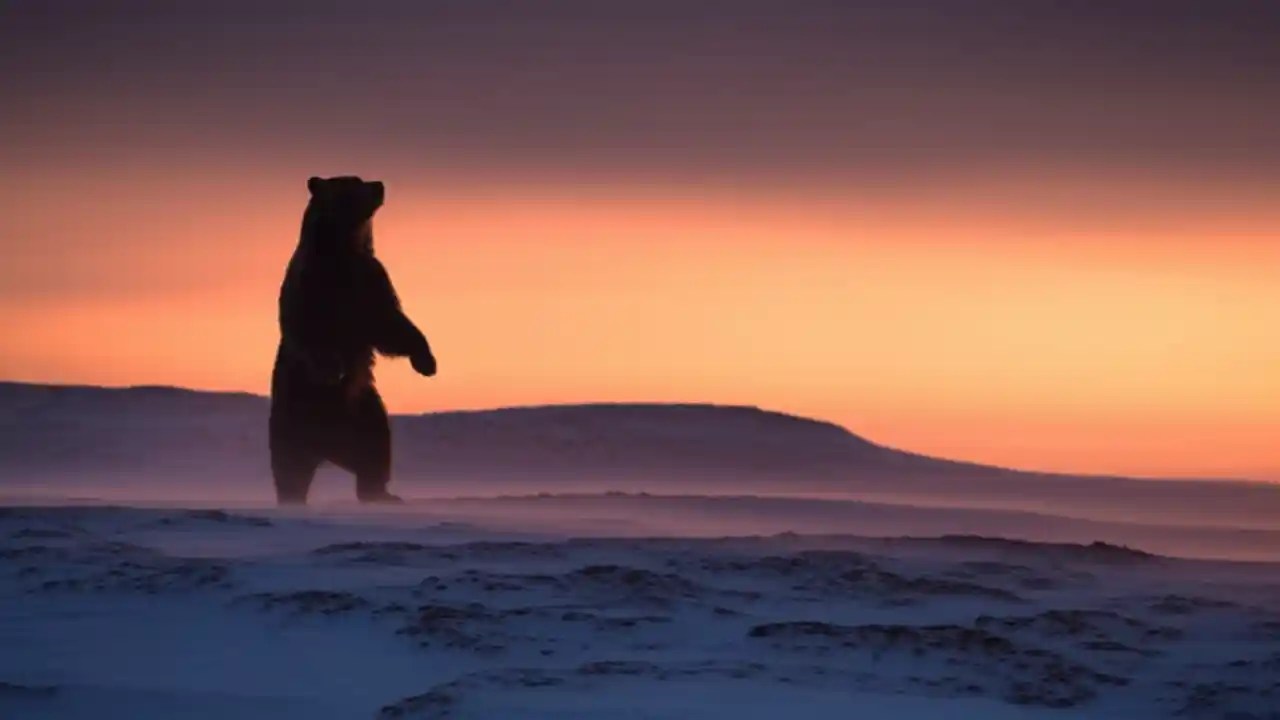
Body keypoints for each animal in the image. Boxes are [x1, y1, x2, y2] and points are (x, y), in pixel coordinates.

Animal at [269, 175, 436, 505]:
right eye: (352, 182)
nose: (379, 184)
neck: (340, 250)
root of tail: (325, 450)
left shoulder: (370, 278)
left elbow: (389, 323)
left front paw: (426, 361)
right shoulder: (311, 282)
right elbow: (308, 329)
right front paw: (332, 367)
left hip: (362, 413)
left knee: (376, 447)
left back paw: (380, 493)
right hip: (291, 419)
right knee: (288, 469)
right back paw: (292, 497)